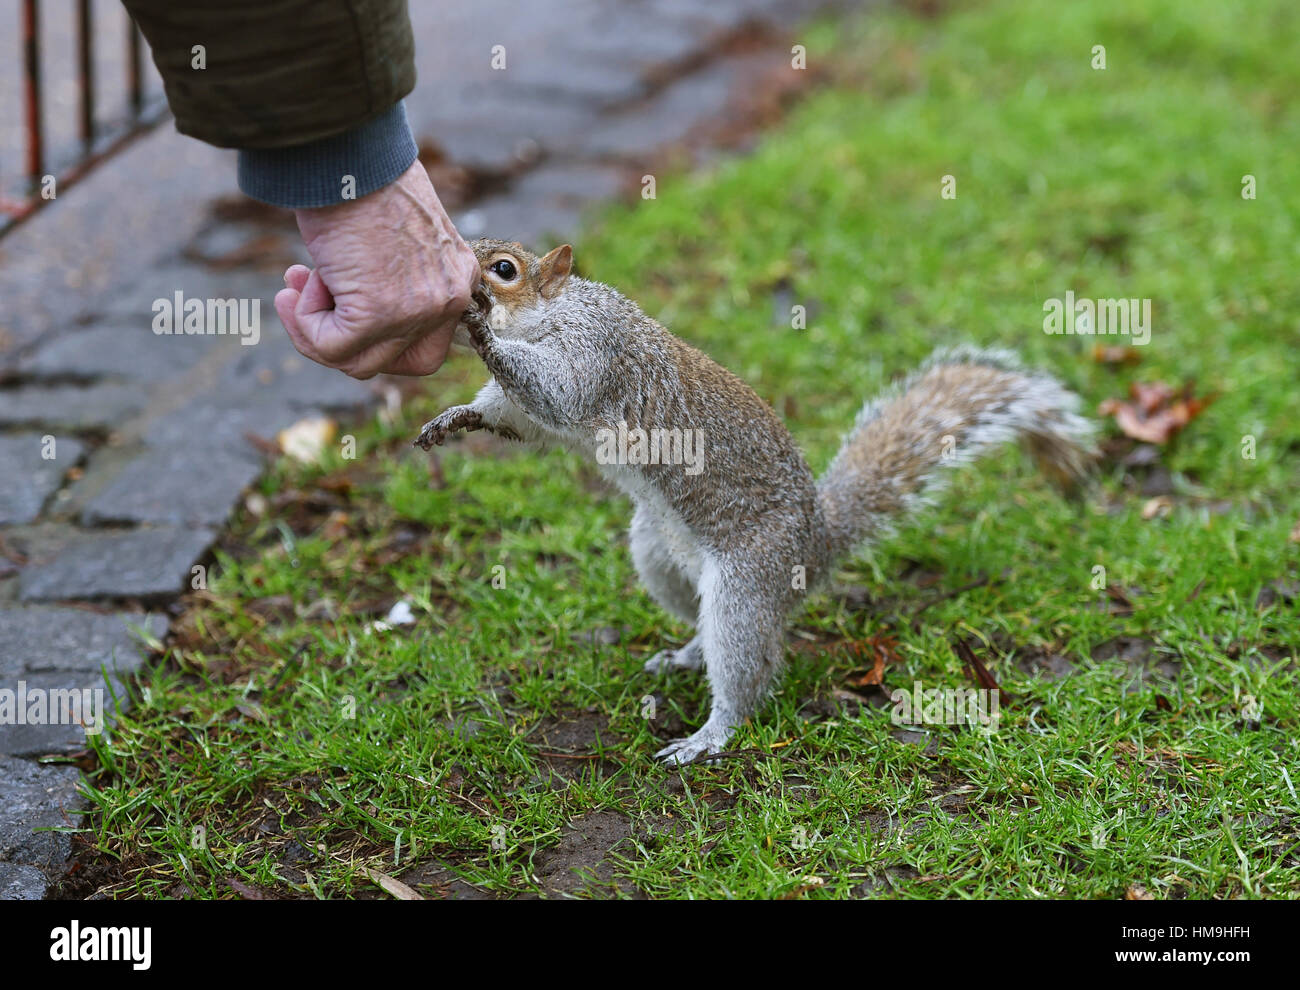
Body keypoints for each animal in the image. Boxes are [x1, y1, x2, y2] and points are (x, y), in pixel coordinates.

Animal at [415, 238, 1095, 764]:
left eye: (504, 268)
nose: (456, 283)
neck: (556, 311)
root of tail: (818, 546)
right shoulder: (542, 404)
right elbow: (512, 413)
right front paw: (453, 418)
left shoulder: (595, 354)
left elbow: (551, 391)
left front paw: (479, 328)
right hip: (657, 556)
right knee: (699, 621)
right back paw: (686, 655)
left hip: (749, 579)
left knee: (747, 668)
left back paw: (708, 735)